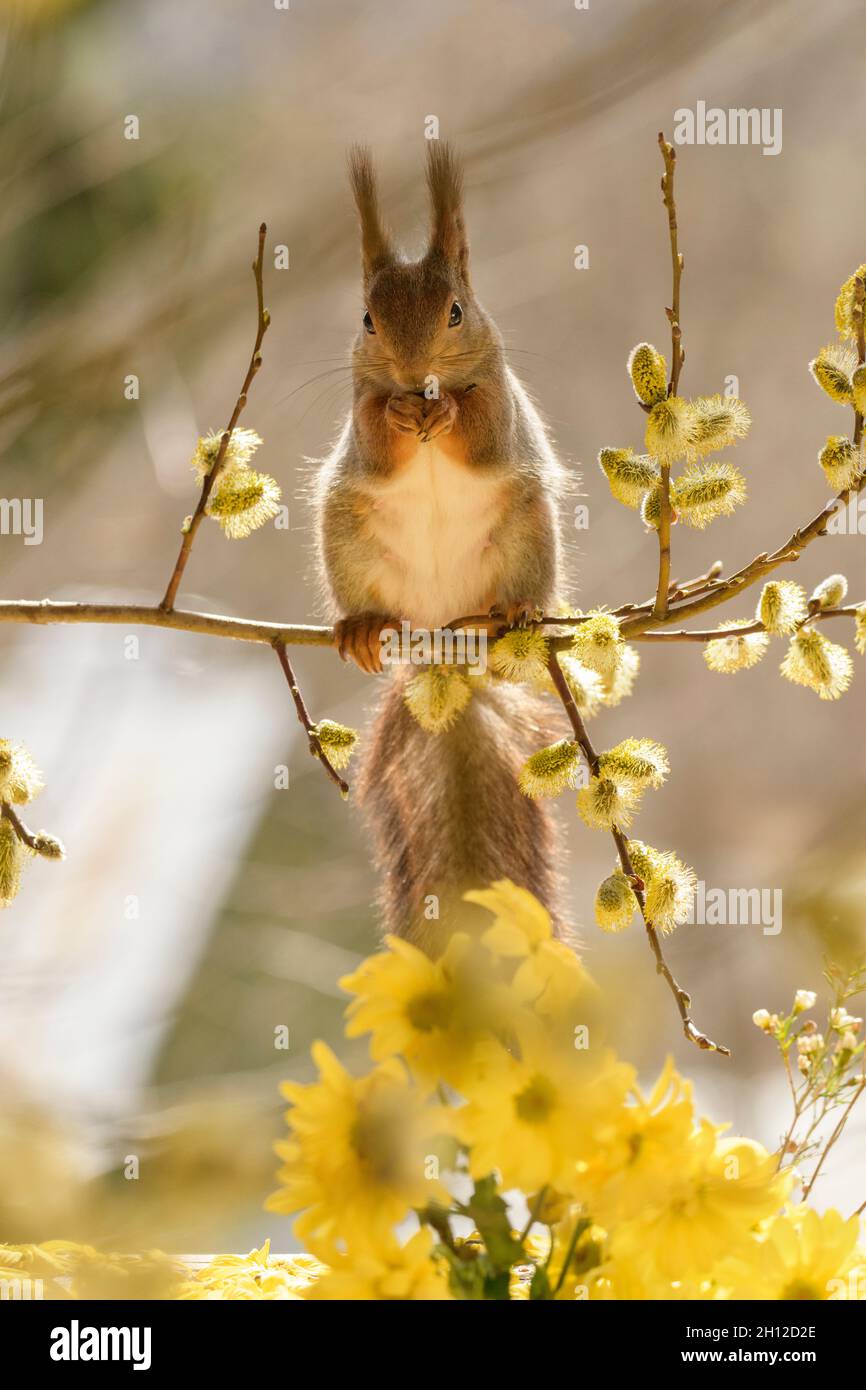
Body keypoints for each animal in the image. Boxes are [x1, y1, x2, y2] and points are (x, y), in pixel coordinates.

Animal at [314, 143, 569, 952]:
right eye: (366, 320)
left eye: (455, 311)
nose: (410, 371)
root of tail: (441, 642)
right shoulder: (359, 418)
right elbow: (374, 433)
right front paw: (399, 414)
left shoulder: (501, 399)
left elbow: (480, 424)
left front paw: (448, 410)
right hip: (348, 537)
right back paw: (364, 629)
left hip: (525, 530)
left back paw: (511, 614)